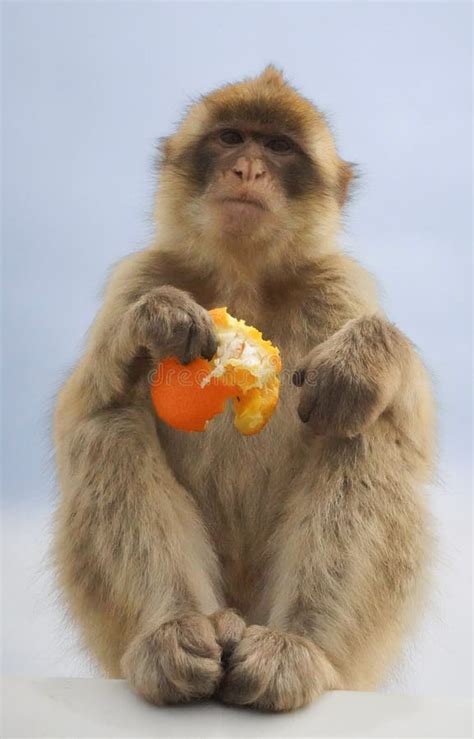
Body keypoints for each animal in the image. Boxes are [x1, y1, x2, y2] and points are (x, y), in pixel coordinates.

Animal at [53, 66, 436, 712]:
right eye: (232, 138)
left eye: (278, 147)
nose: (248, 170)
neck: (242, 276)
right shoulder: (143, 272)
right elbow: (83, 407)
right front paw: (153, 321)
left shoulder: (336, 287)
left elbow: (410, 425)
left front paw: (364, 359)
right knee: (108, 427)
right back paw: (175, 632)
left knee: (361, 430)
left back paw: (296, 648)